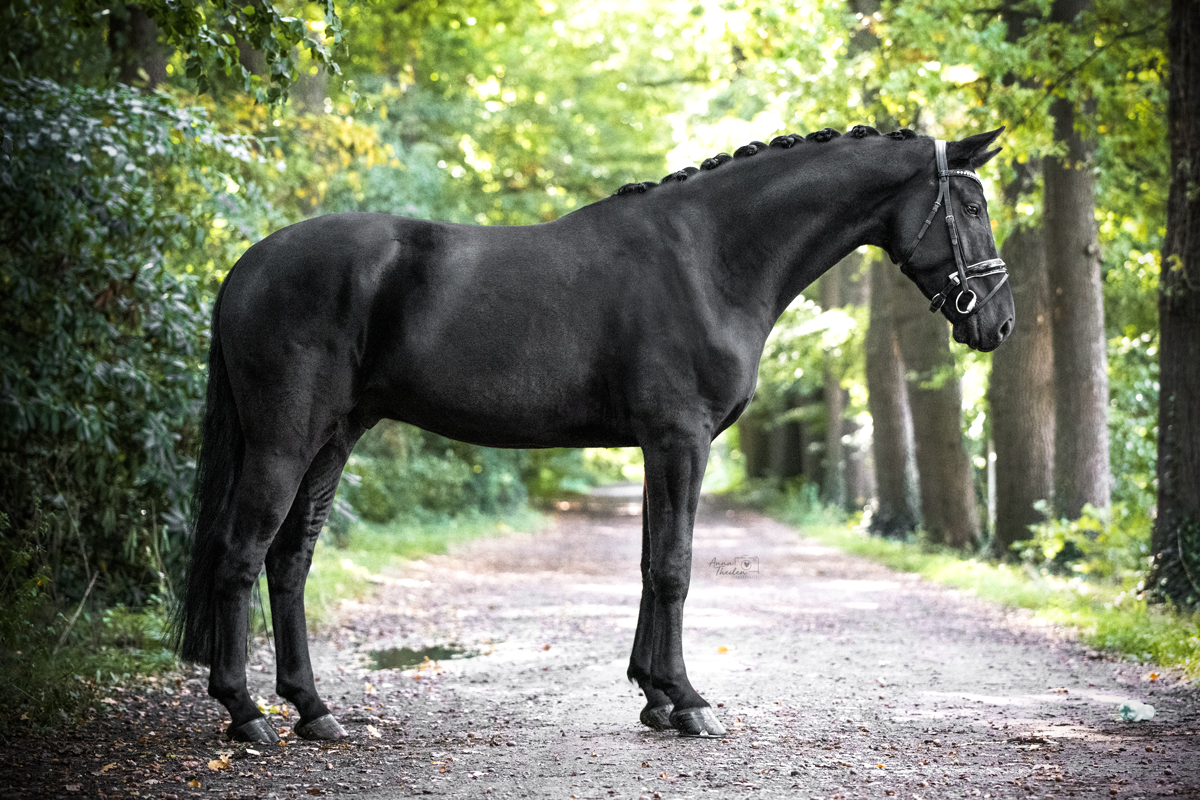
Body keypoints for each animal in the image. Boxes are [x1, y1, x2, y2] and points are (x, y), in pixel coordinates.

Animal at [172, 124, 1015, 742]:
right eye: (972, 207)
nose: (998, 323)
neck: (710, 258)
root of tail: (246, 265)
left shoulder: (659, 446)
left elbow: (649, 564)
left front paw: (655, 698)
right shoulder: (680, 439)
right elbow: (673, 568)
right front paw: (689, 702)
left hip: (335, 438)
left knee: (290, 560)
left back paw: (315, 711)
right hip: (285, 441)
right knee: (242, 555)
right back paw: (246, 714)